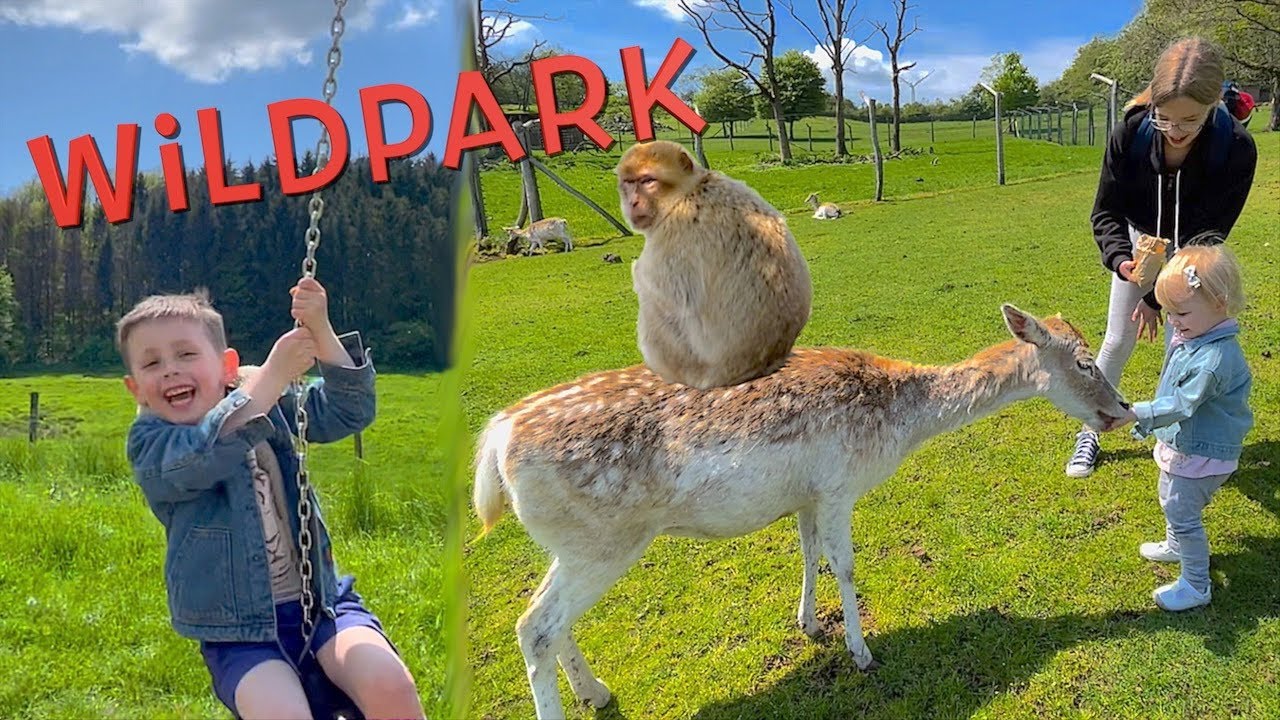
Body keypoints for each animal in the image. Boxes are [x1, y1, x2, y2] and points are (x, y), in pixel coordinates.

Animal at [615, 140, 813, 390]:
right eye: (629, 183)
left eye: (648, 181)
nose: (633, 202)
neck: (690, 190)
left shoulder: (673, 232)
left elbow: (667, 294)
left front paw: (639, 271)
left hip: (689, 364)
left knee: (653, 305)